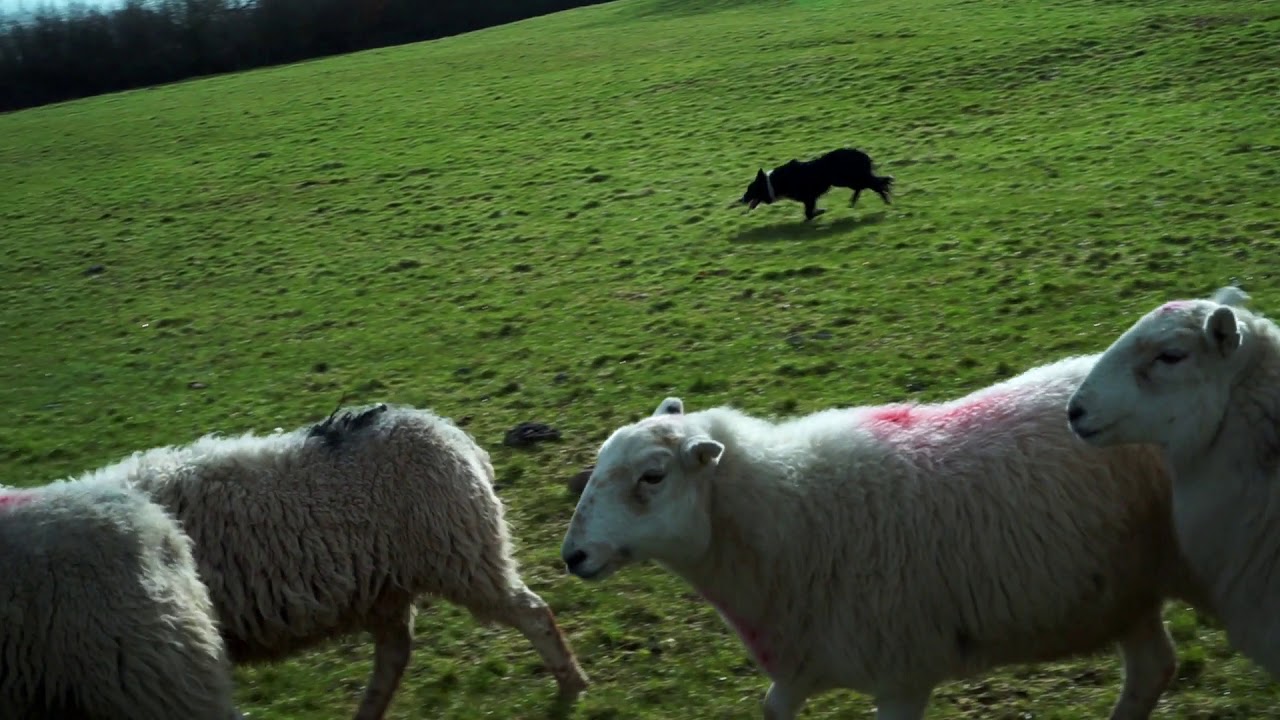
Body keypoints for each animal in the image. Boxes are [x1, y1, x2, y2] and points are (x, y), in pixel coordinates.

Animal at [75, 402, 589, 720]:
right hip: (388, 587)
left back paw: (572, 684)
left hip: (461, 556)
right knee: (394, 656)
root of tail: (448, 432)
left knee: (532, 613)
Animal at [560, 354, 1212, 720]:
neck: (792, 516)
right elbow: (771, 709)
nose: (573, 556)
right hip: (1123, 591)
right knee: (1153, 669)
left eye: (652, 477)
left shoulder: (902, 675)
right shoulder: (801, 660)